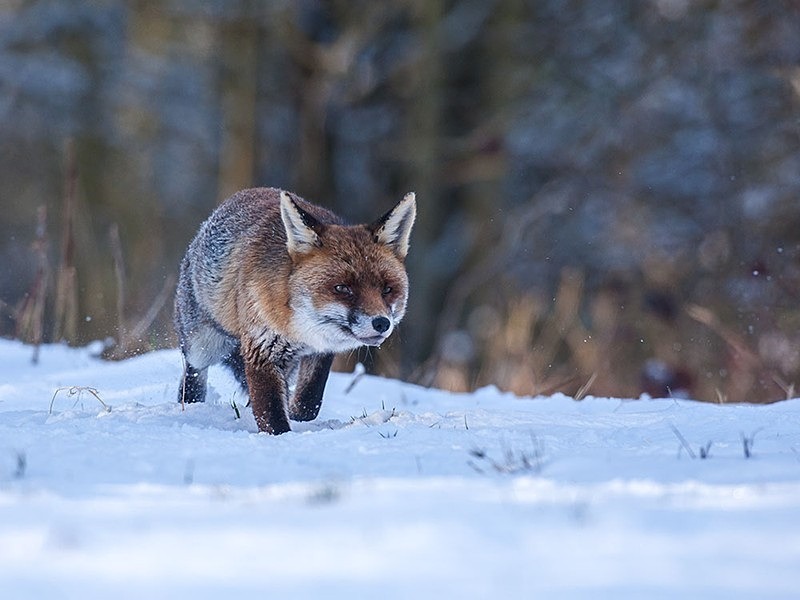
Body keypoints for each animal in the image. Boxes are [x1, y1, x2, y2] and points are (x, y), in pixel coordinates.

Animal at [174, 187, 416, 434]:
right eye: (342, 288)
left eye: (387, 289)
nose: (381, 323)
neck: (298, 328)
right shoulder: (261, 349)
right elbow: (271, 413)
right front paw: (282, 437)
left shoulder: (320, 351)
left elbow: (309, 402)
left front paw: (298, 417)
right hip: (202, 347)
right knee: (193, 373)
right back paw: (190, 404)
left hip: (286, 367)